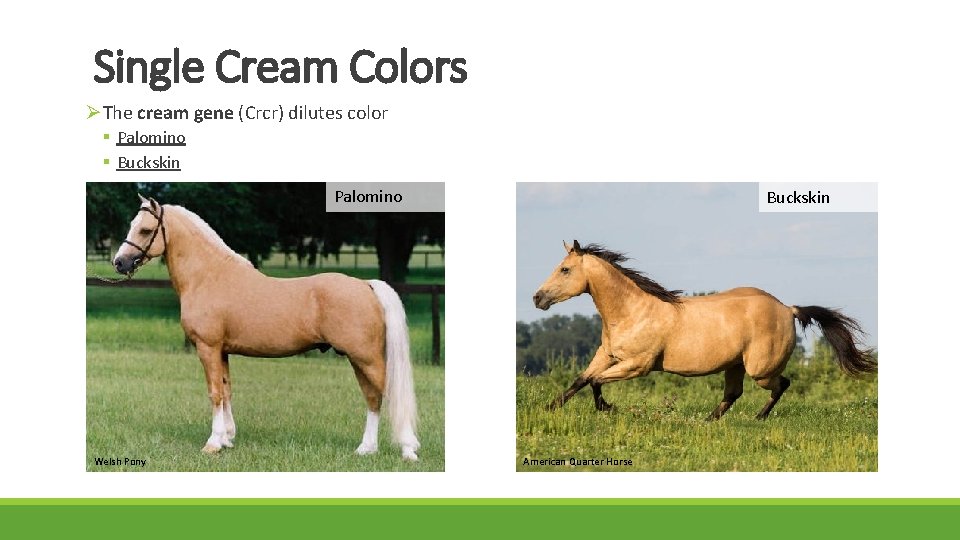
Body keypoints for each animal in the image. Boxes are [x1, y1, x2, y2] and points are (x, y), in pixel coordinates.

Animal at [111, 195, 420, 460]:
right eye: (132, 225)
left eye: (145, 230)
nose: (119, 262)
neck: (208, 276)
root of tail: (366, 285)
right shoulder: (222, 351)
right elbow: (227, 390)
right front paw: (227, 438)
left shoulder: (207, 347)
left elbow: (214, 392)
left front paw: (213, 443)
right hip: (358, 359)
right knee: (372, 398)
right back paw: (366, 449)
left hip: (366, 358)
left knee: (388, 395)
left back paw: (408, 450)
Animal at [532, 240, 876, 420]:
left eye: (565, 269)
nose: (537, 298)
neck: (632, 311)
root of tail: (787, 308)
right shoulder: (607, 355)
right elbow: (581, 379)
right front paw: (548, 408)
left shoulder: (637, 365)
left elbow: (595, 382)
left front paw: (607, 408)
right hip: (736, 365)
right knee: (734, 393)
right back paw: (709, 420)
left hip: (760, 369)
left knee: (782, 384)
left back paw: (758, 417)